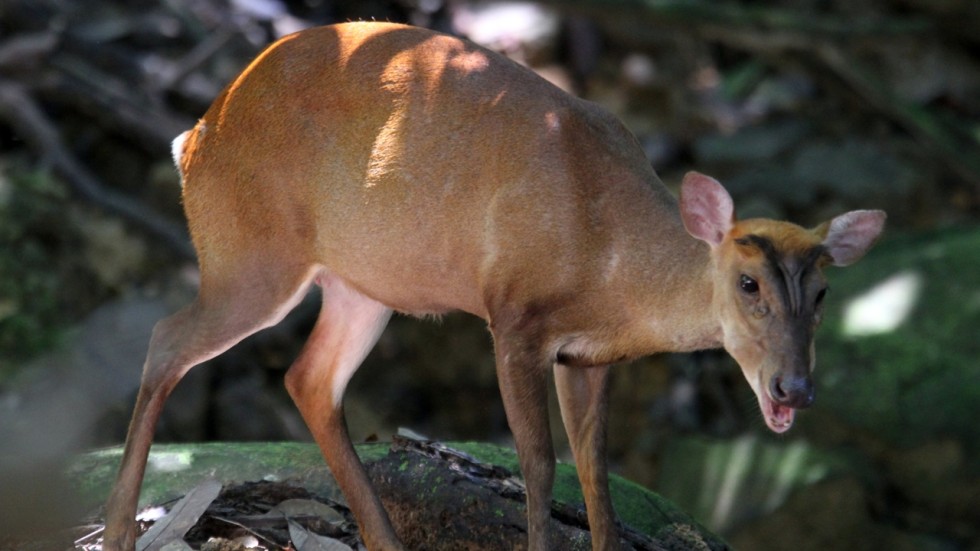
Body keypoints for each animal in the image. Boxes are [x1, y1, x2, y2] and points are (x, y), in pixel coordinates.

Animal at [102, 21, 885, 551]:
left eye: (823, 294)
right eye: (748, 283)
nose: (794, 388)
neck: (608, 260)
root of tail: (194, 136)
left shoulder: (587, 356)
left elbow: (596, 474)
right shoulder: (513, 317)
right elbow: (540, 465)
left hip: (363, 279)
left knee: (309, 378)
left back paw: (384, 538)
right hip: (250, 249)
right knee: (167, 339)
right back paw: (117, 530)